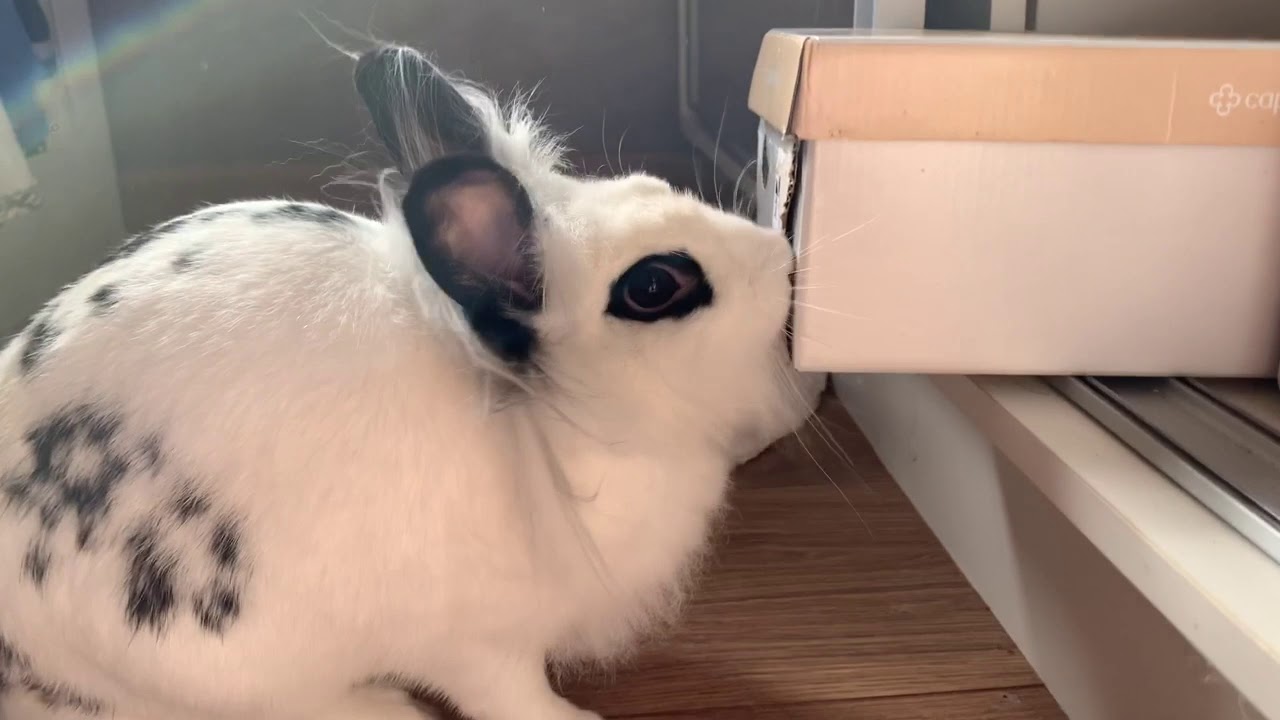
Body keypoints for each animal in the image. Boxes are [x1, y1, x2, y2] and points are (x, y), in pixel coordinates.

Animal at [0, 43, 825, 720]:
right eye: (654, 286)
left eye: (655, 184)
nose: (781, 258)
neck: (543, 420)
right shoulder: (480, 645)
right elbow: (512, 699)